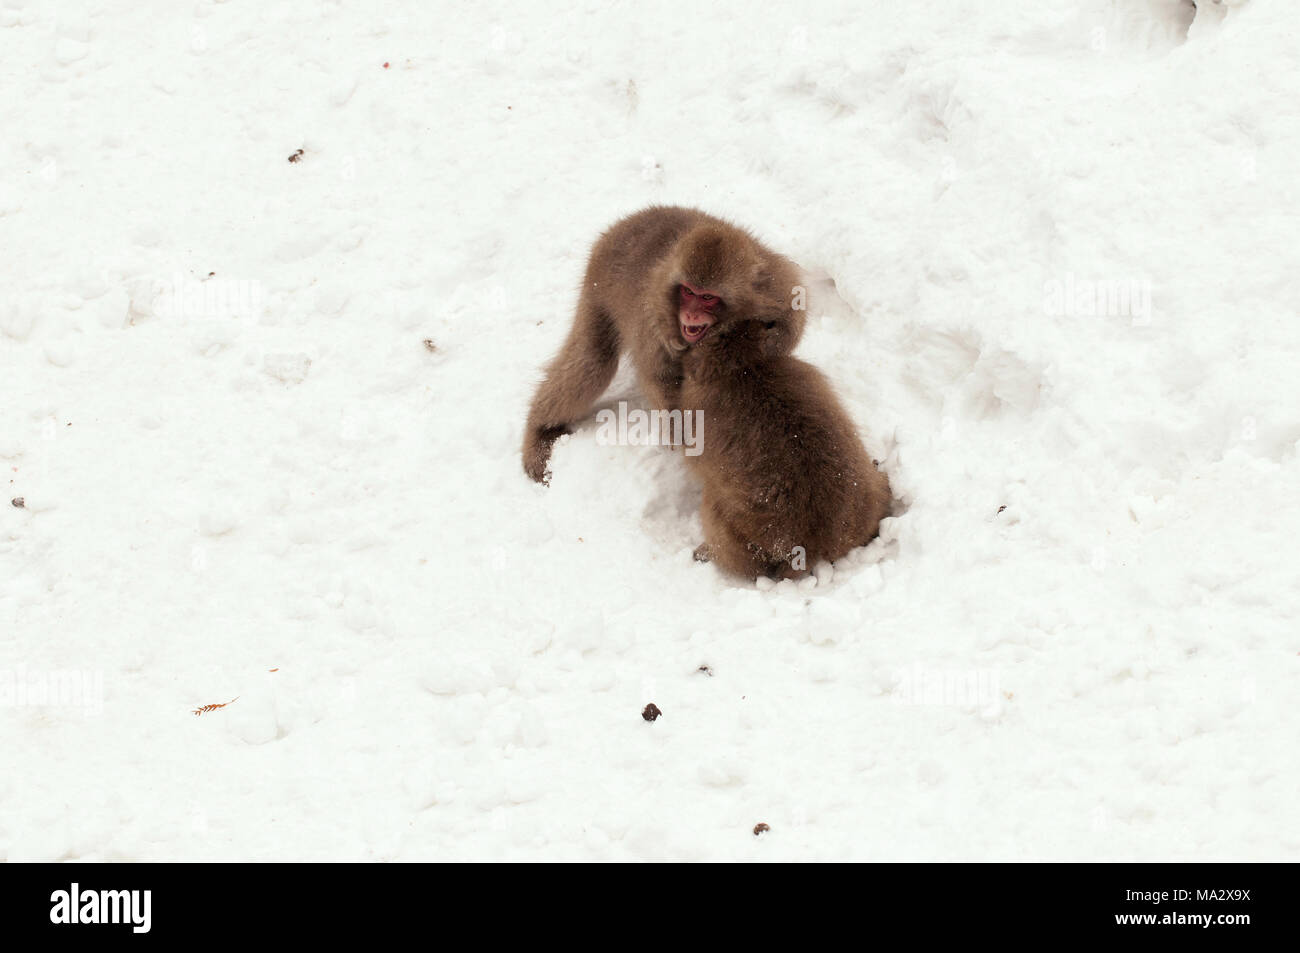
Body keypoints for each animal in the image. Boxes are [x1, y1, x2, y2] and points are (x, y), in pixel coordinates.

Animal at [522, 206, 805, 483]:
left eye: (708, 297)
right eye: (688, 292)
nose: (691, 315)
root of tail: (620, 226)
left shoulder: (773, 285)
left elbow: (794, 317)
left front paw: (769, 344)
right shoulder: (653, 320)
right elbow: (659, 375)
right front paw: (680, 429)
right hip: (597, 287)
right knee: (592, 363)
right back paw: (539, 431)